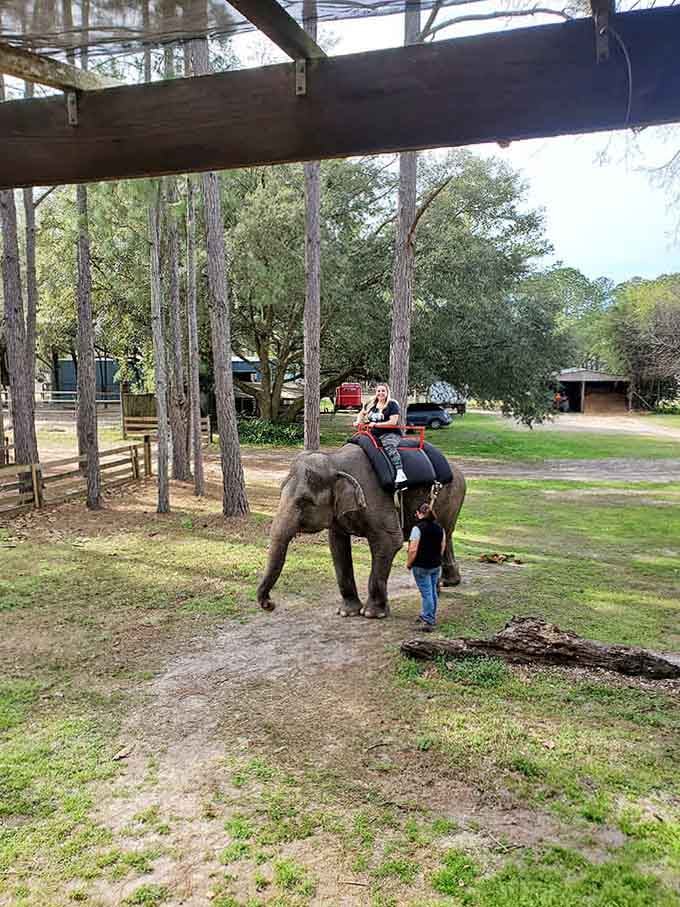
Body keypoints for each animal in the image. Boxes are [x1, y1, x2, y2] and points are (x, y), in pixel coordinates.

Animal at [257, 443, 466, 618]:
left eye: (304, 501)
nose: (270, 604)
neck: (335, 460)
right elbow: (337, 546)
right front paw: (347, 612)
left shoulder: (376, 499)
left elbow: (390, 541)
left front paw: (372, 614)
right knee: (445, 536)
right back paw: (446, 584)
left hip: (450, 496)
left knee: (444, 532)